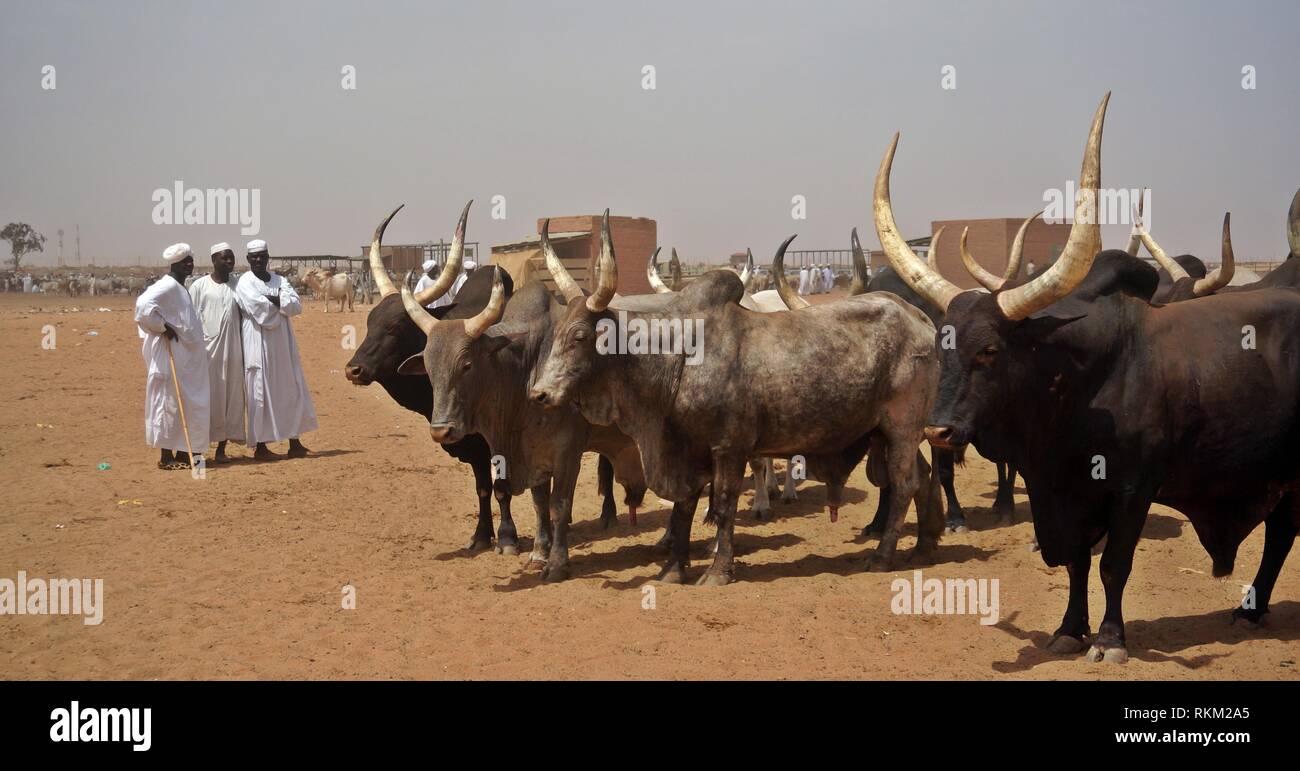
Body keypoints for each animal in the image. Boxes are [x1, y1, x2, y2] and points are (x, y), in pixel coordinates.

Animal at [345, 204, 638, 552]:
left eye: (395, 326)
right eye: (369, 321)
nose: (353, 369)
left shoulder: (498, 443)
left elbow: (501, 488)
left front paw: (508, 537)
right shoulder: (475, 448)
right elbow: (483, 488)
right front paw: (482, 534)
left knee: (606, 461)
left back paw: (607, 513)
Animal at [530, 211, 943, 584]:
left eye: (580, 335)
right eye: (557, 333)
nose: (539, 393)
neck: (676, 358)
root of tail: (919, 319)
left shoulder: (730, 447)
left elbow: (725, 505)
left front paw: (717, 571)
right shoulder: (687, 449)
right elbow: (684, 508)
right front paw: (672, 570)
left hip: (902, 428)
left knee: (904, 484)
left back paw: (883, 556)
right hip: (884, 433)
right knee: (923, 478)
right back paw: (924, 547)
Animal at [878, 92, 1300, 662]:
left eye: (990, 349)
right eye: (941, 345)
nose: (937, 431)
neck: (1078, 390)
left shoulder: (1132, 488)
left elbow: (1113, 565)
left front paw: (1109, 638)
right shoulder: (1063, 494)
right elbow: (1077, 562)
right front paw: (1068, 629)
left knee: (1279, 533)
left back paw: (1251, 611)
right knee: (1280, 531)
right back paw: (1250, 610)